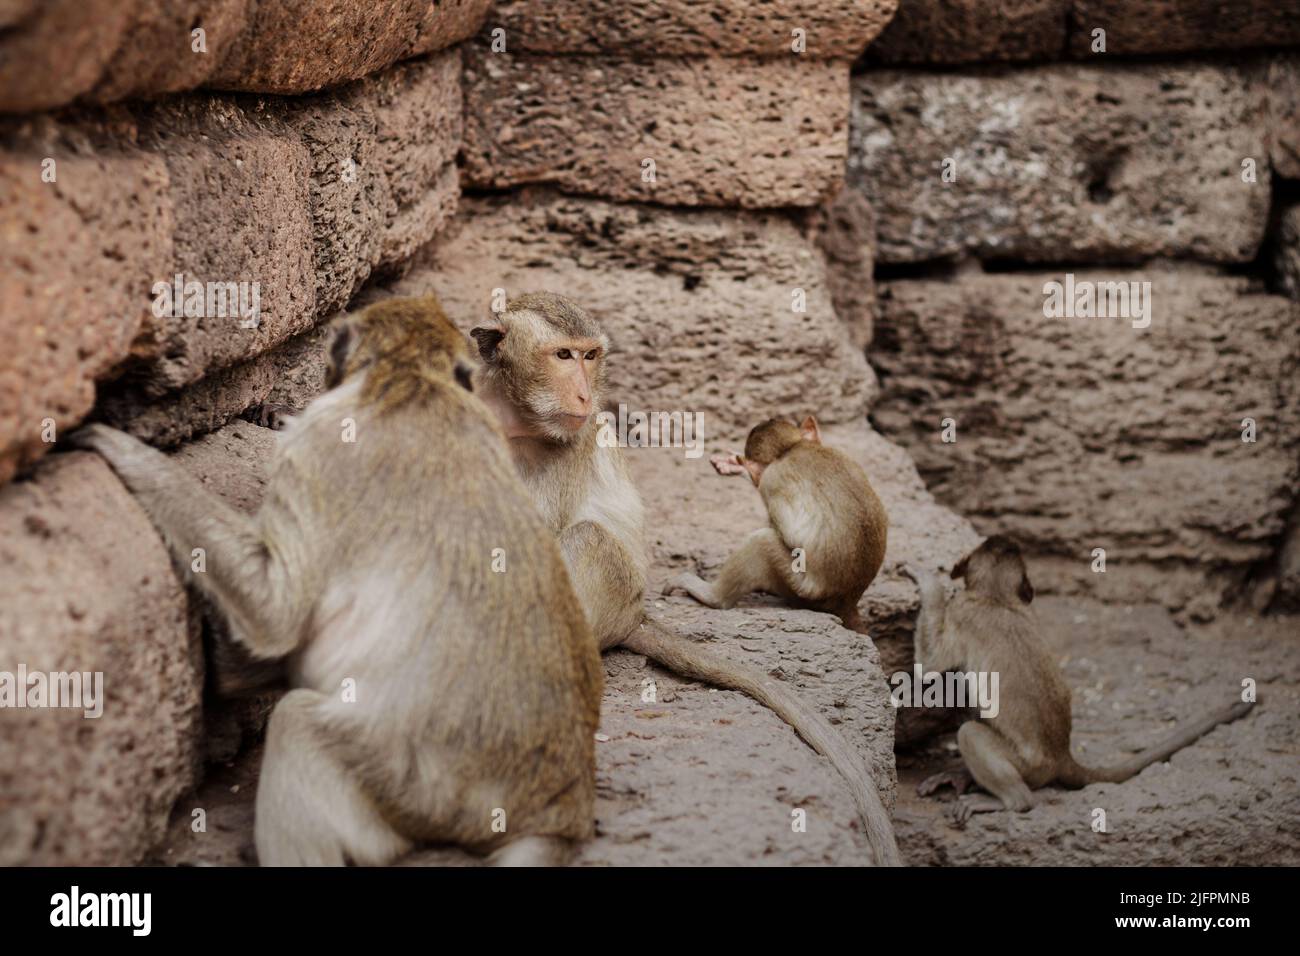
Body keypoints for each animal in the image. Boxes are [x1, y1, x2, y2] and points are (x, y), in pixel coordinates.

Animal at [69, 295, 603, 867]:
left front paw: (126, 453)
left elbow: (275, 611)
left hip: (413, 788)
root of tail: (563, 808)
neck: (413, 378)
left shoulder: (319, 442)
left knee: (298, 724)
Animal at [664, 416, 888, 631]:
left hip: (799, 588)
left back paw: (712, 596)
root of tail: (848, 601)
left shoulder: (770, 481)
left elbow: (789, 534)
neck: (791, 448)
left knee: (762, 542)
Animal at [901, 536, 1256, 826]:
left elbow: (929, 667)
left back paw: (1012, 801)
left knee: (971, 733)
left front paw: (927, 582)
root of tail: (1061, 756)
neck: (998, 597)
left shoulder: (962, 612)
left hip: (1029, 767)